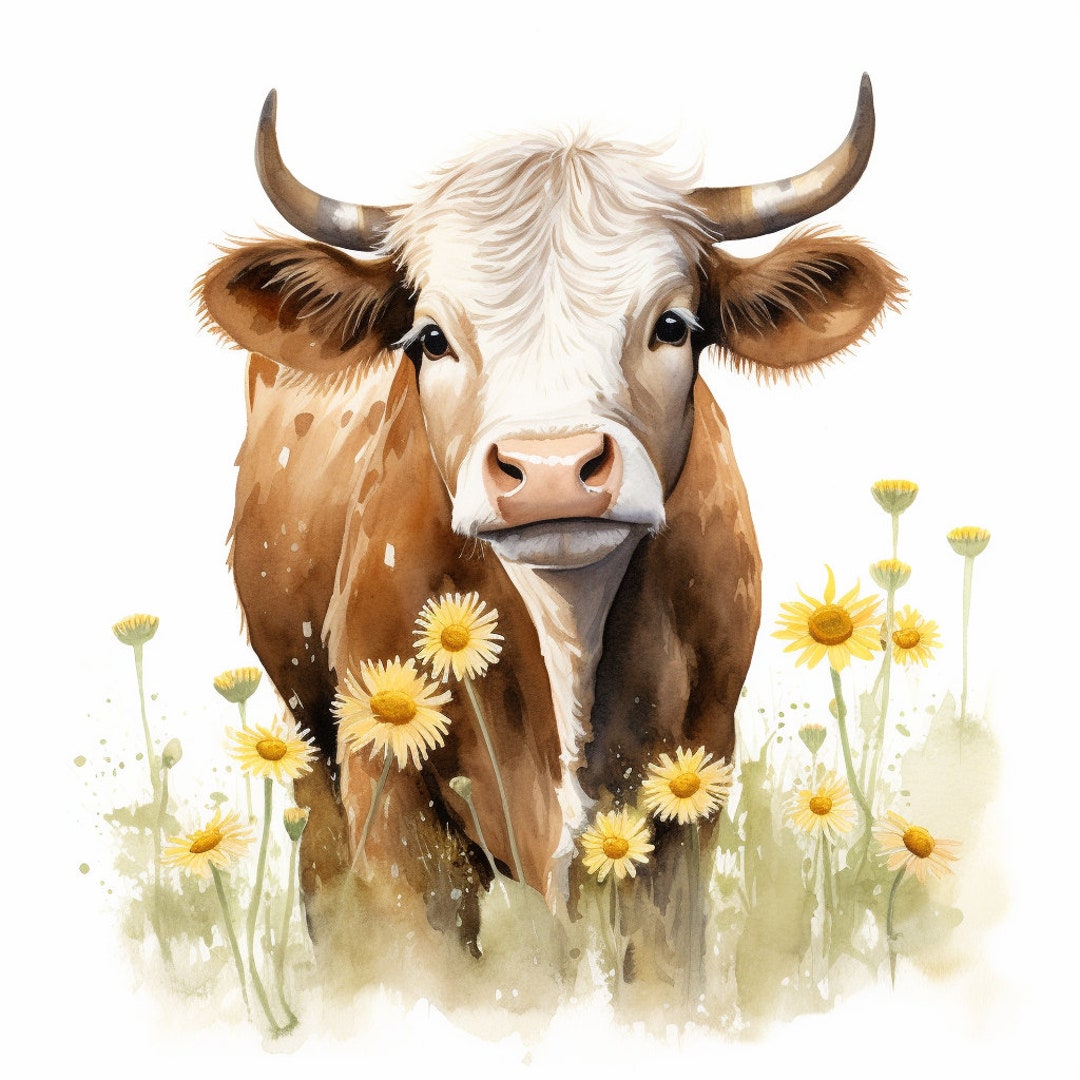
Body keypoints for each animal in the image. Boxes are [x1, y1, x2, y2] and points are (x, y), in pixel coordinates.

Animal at [198, 76, 902, 964]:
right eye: (431, 338)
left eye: (673, 326)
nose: (552, 470)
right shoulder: (391, 799)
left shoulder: (691, 788)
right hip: (307, 734)